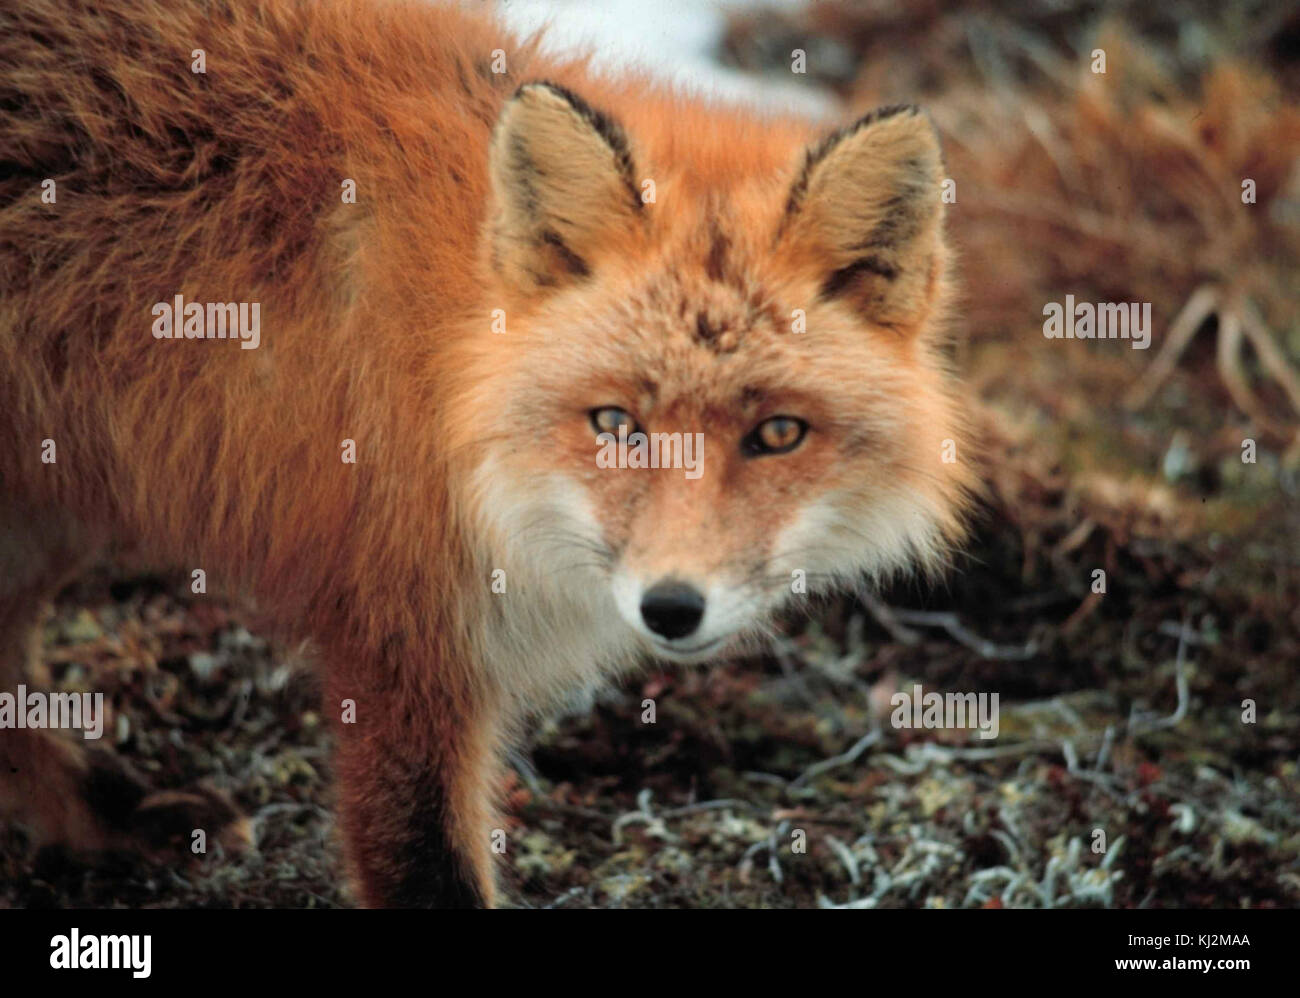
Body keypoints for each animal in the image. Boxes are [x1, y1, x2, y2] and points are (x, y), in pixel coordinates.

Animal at [0, 0, 974, 907]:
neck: (452, 364)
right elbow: (424, 863)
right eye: (615, 422)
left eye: (777, 434)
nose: (671, 608)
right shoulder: (395, 634)